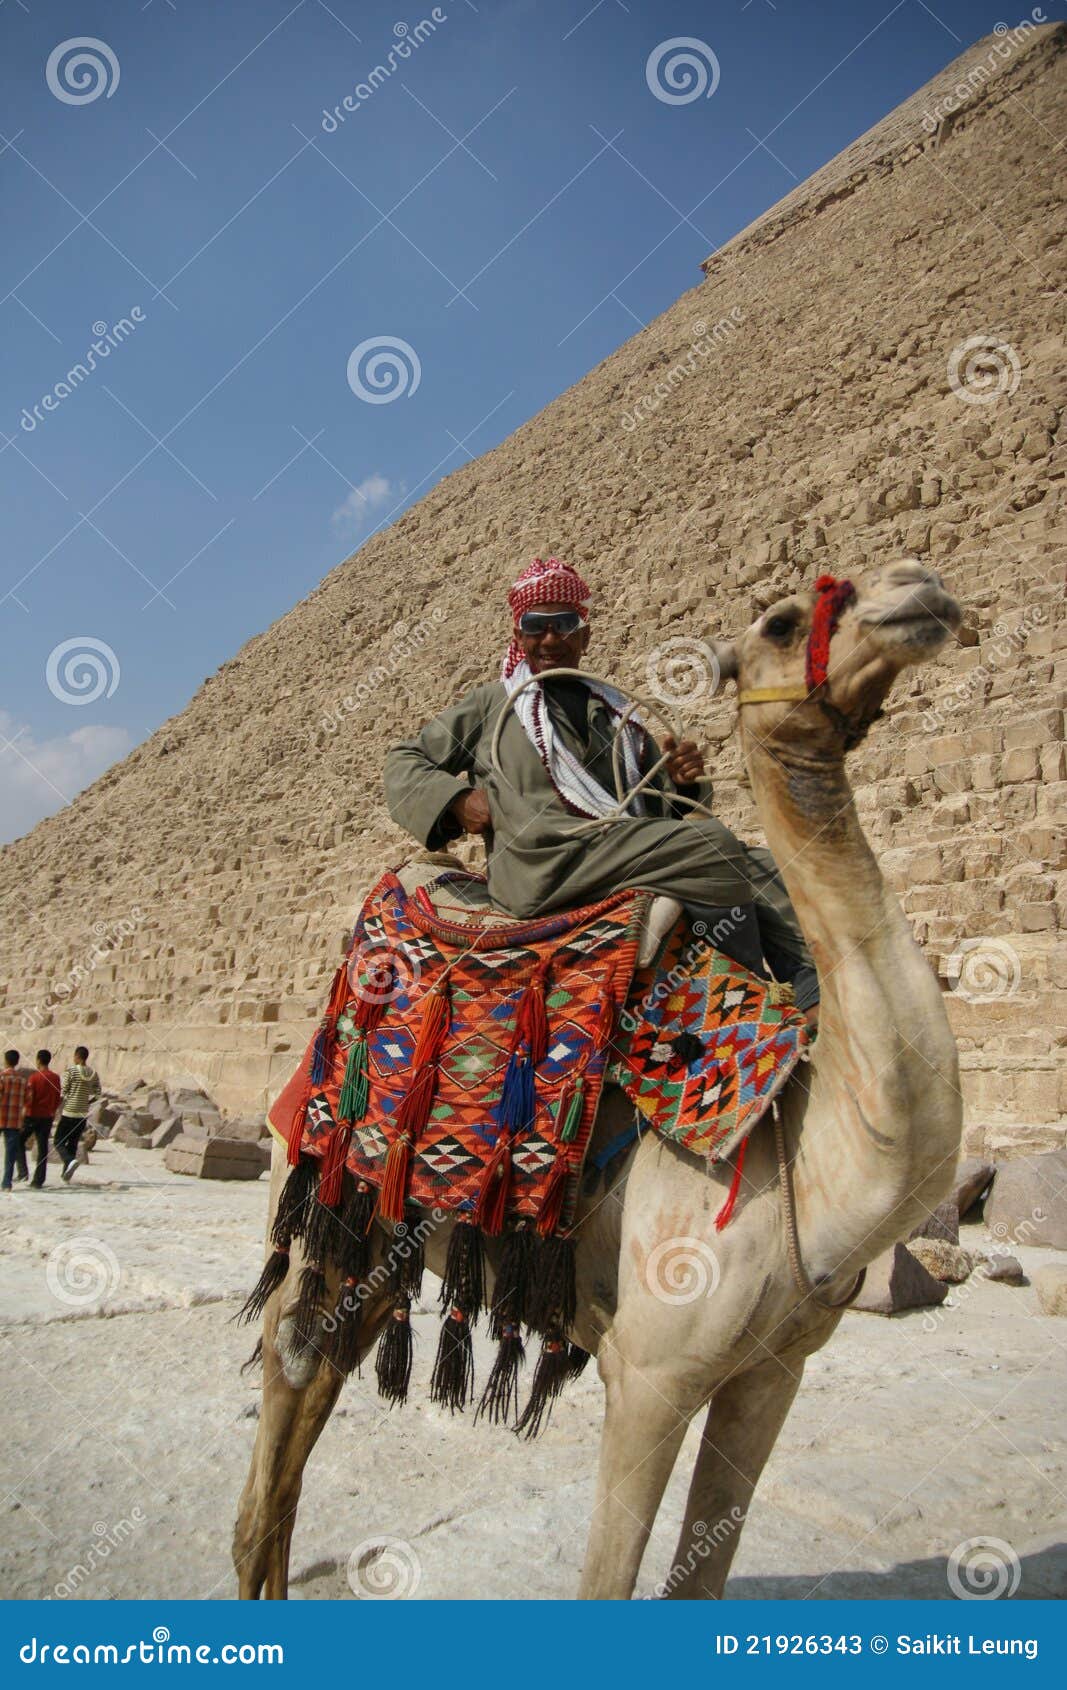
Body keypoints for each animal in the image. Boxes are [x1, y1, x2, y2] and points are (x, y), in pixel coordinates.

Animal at [233, 558, 963, 1601]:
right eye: (784, 621)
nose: (920, 588)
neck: (807, 1149)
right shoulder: (649, 1378)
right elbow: (607, 1579)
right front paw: (475, 800)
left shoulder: (771, 1374)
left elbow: (701, 1574)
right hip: (312, 1198)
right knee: (284, 1390)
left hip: (374, 1238)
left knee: (317, 1397)